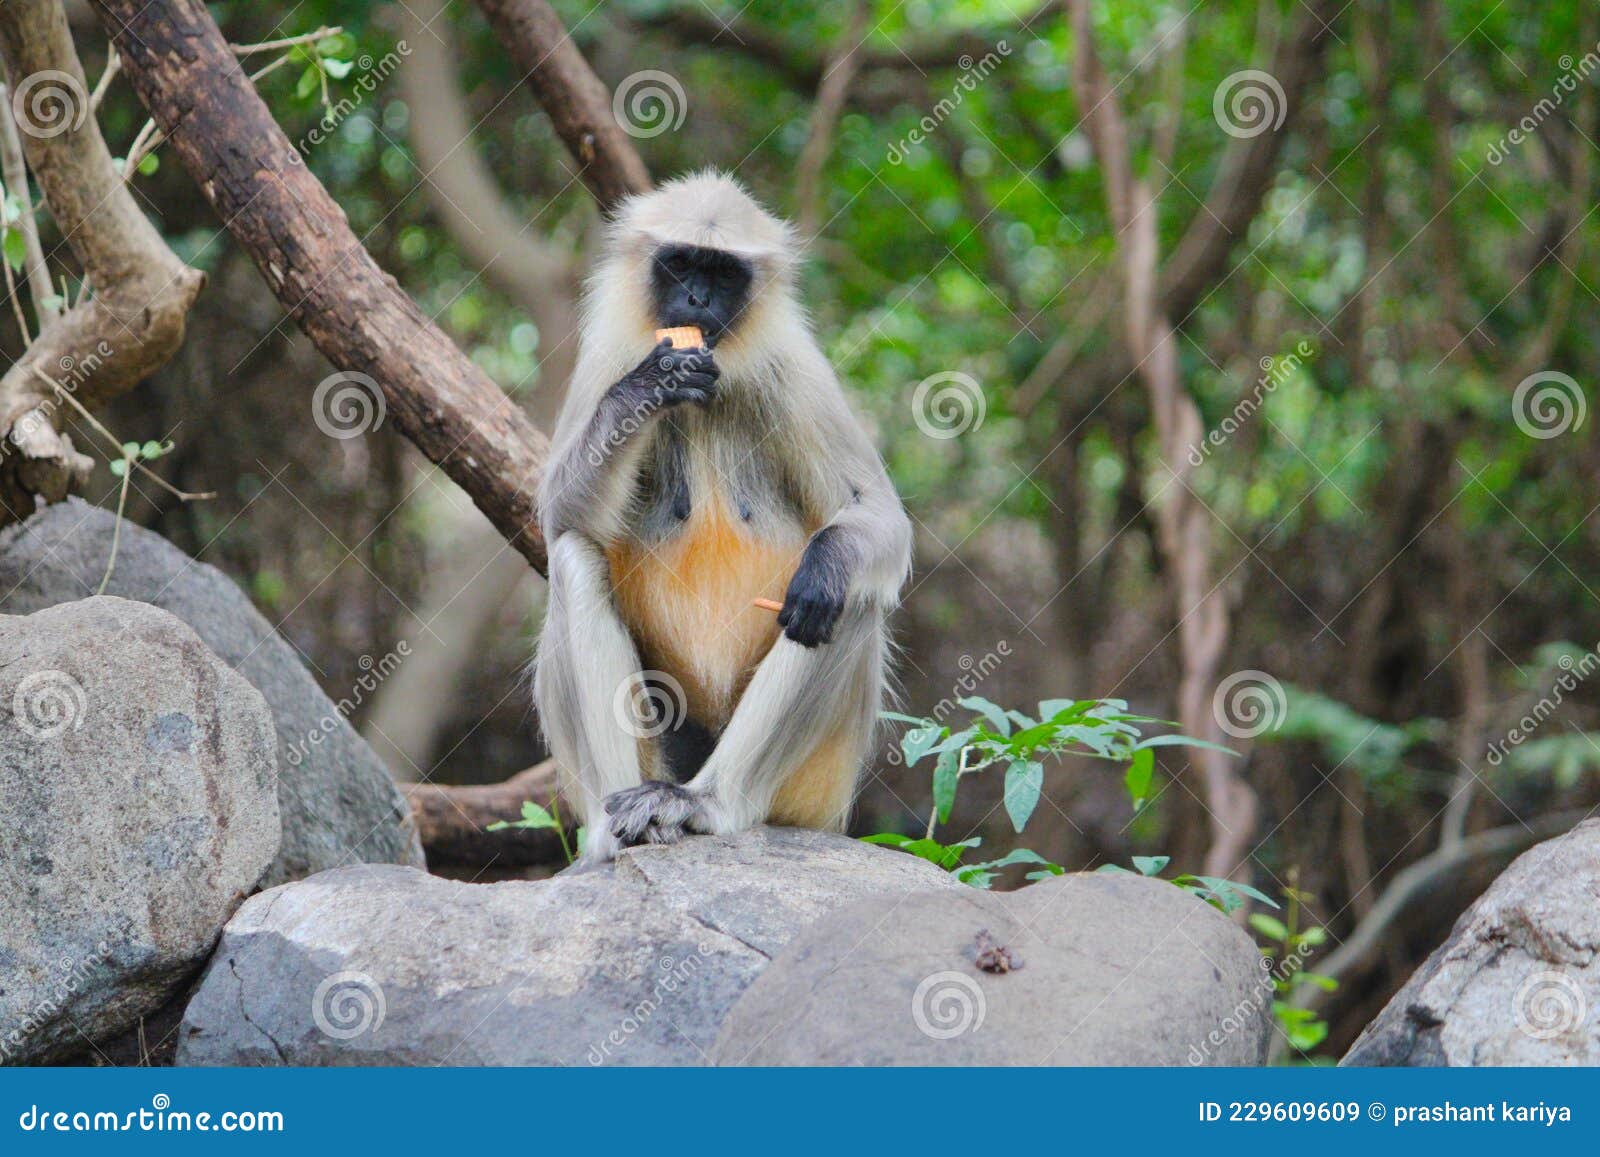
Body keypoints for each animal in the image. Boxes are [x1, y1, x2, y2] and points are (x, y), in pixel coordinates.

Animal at [533, 170, 912, 862]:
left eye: (723, 272)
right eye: (681, 263)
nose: (696, 296)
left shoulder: (795, 366)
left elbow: (876, 519)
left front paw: (825, 564)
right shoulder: (607, 354)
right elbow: (559, 514)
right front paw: (651, 385)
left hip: (811, 792)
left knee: (847, 598)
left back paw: (707, 804)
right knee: (573, 555)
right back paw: (612, 829)